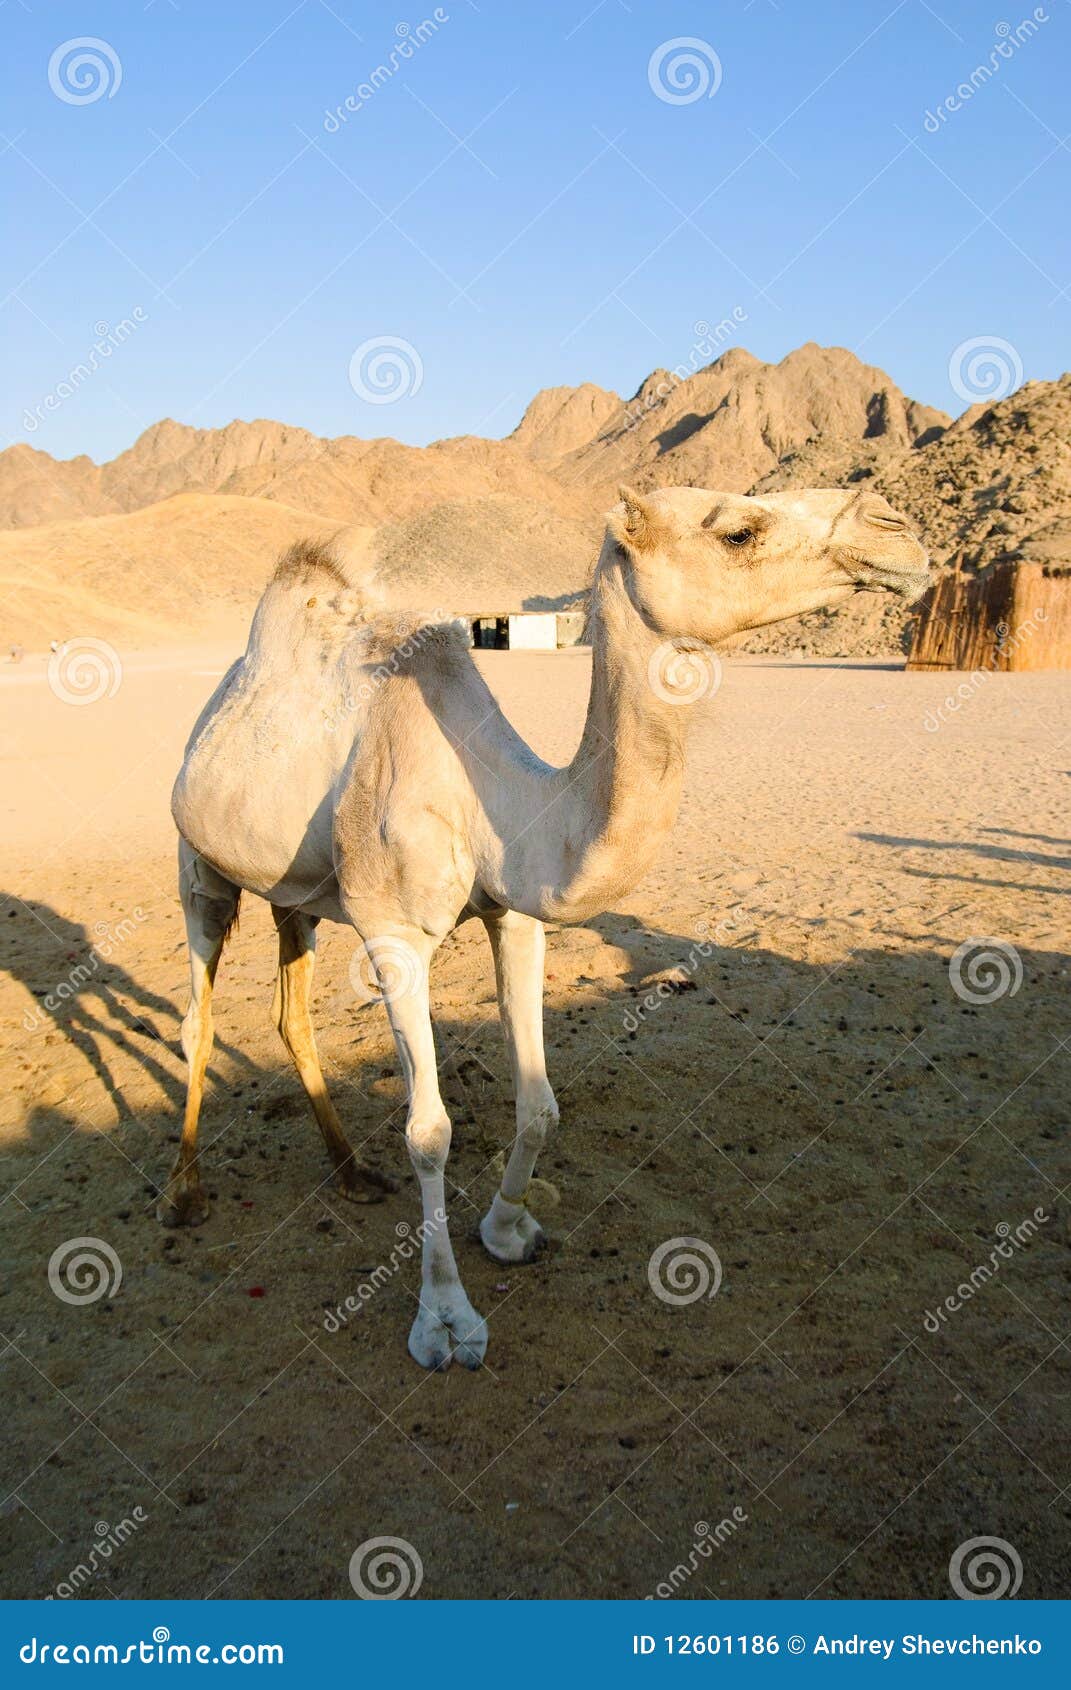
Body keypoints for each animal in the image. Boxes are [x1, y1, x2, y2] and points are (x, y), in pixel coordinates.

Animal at [166, 484, 929, 1369]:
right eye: (737, 530)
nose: (899, 532)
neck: (491, 801)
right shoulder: (393, 935)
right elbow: (428, 1130)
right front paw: (445, 1318)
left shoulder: (517, 917)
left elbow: (539, 1105)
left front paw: (507, 1228)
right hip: (199, 861)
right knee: (198, 1014)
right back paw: (184, 1194)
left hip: (295, 889)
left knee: (290, 1011)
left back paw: (350, 1173)